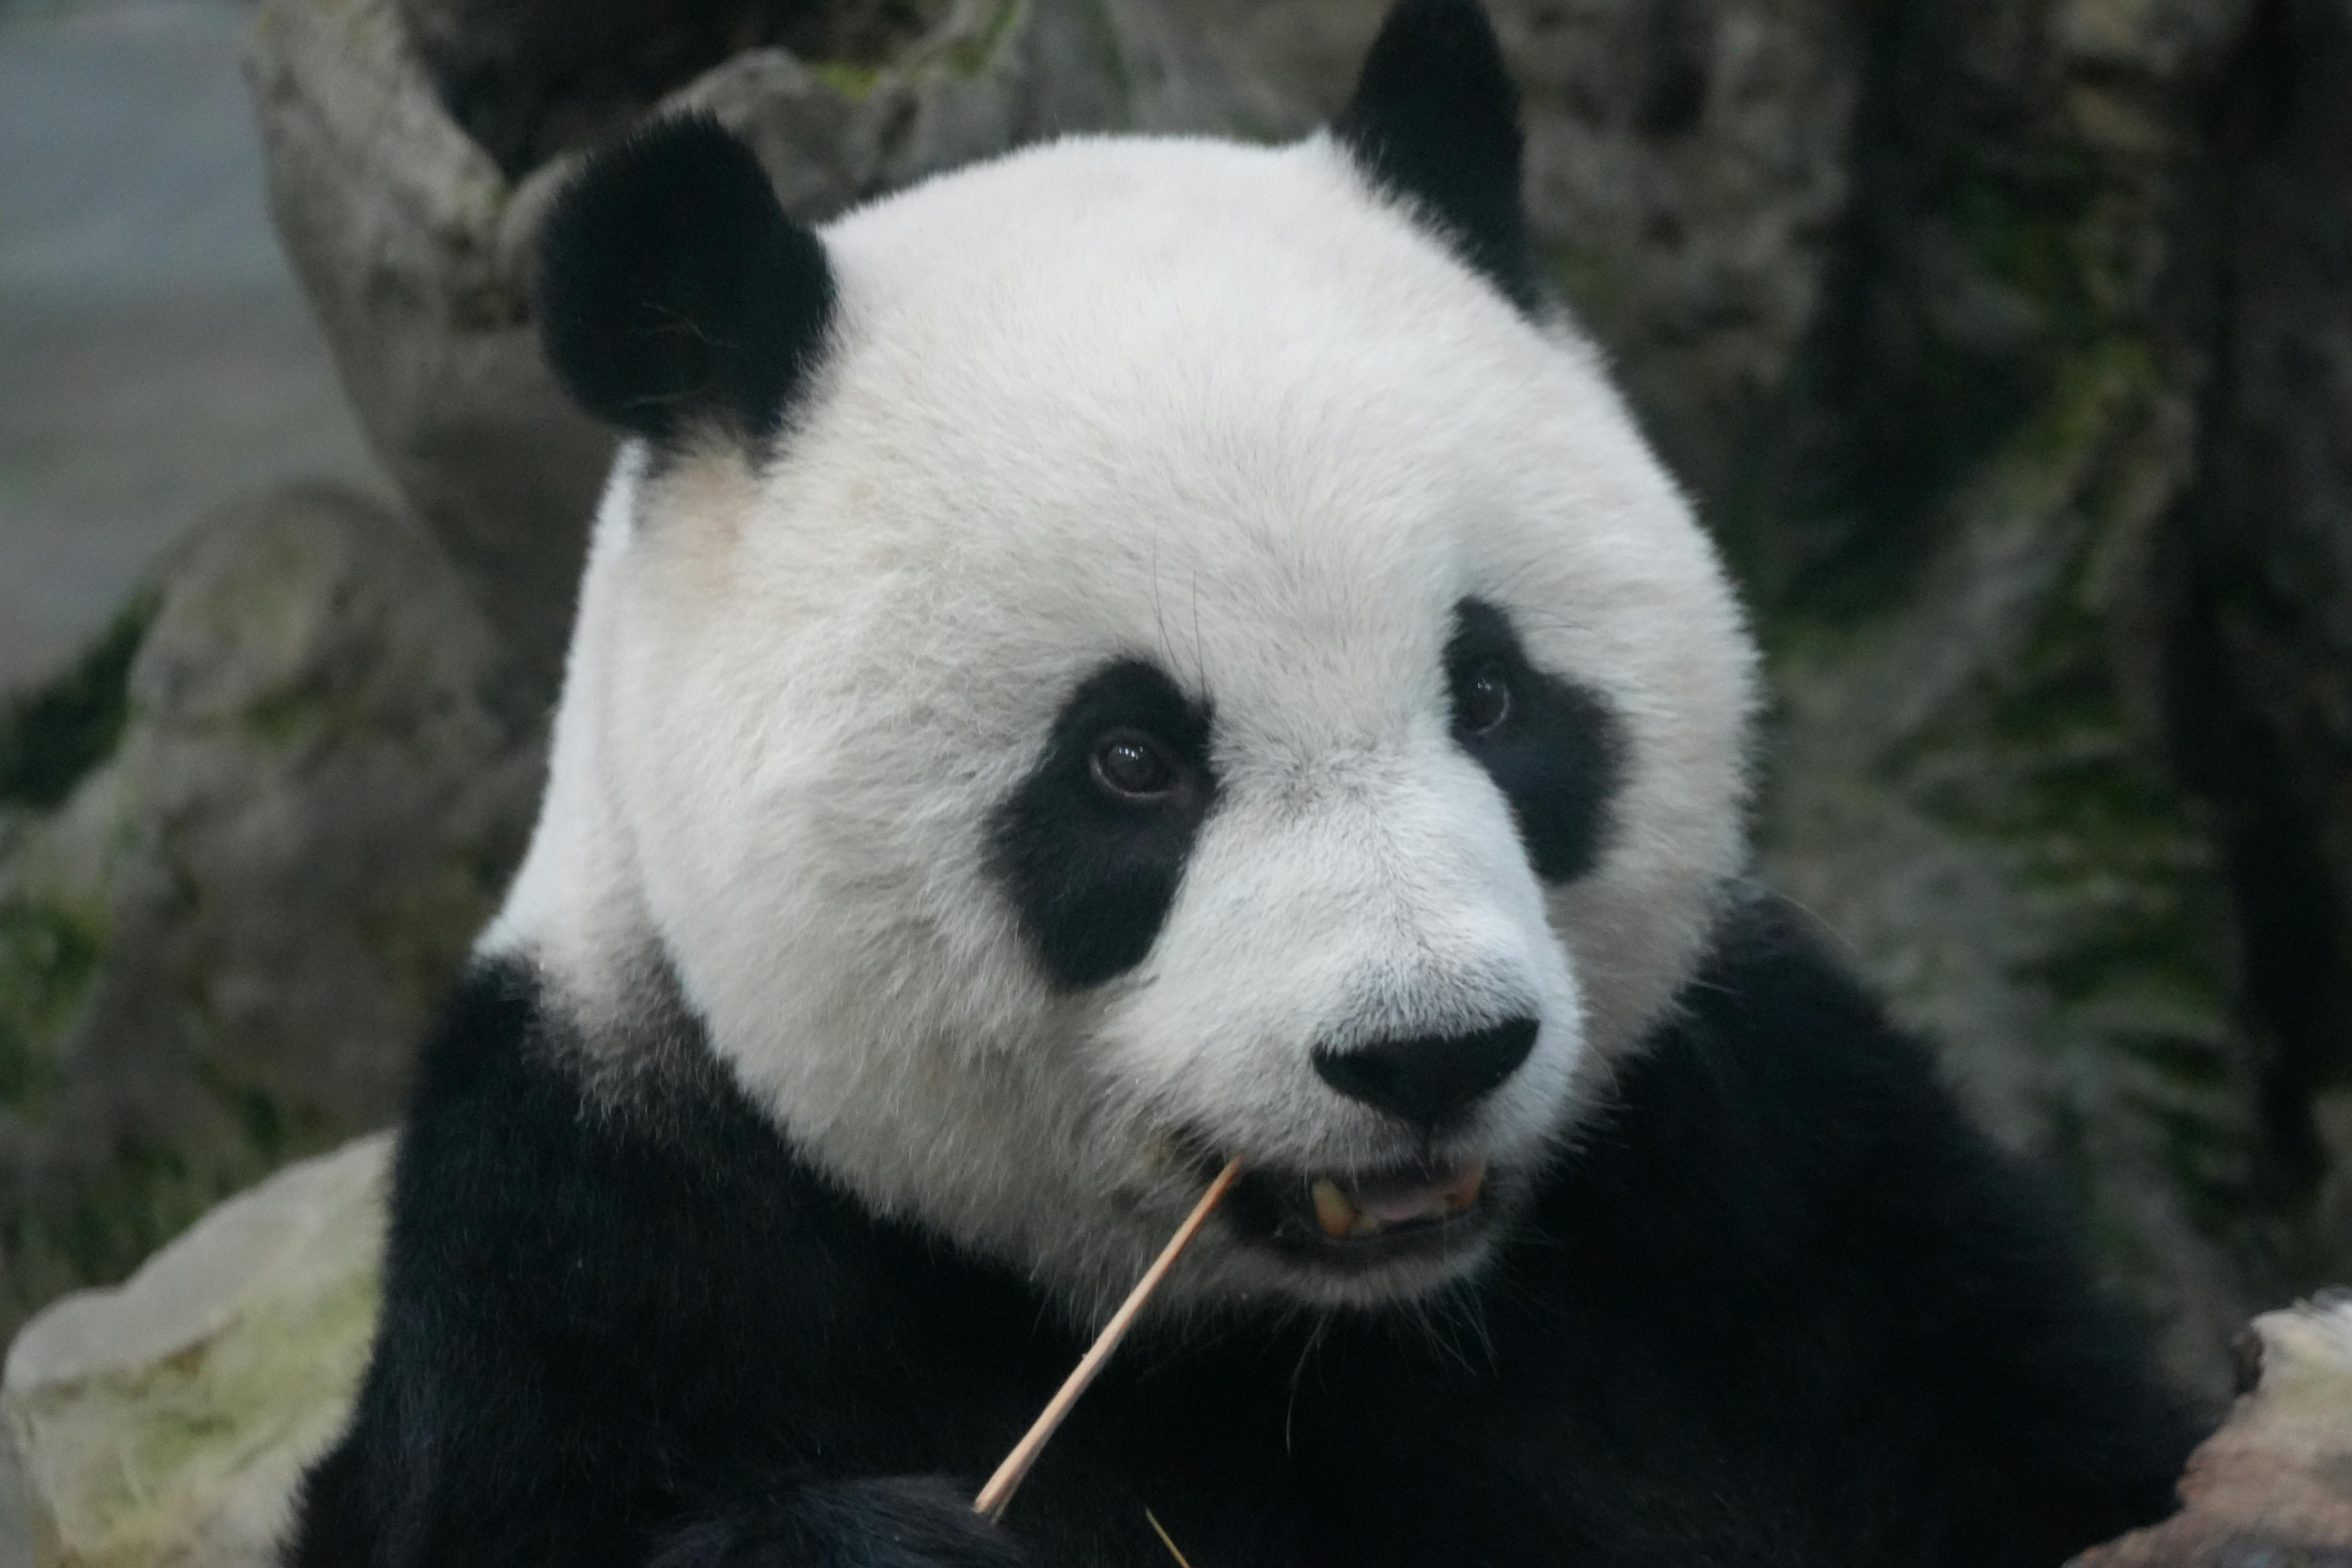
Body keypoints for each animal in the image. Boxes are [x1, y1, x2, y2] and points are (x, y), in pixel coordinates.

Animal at [285, 2, 2201, 1564]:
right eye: (1130, 760)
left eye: (1492, 692)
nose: (1428, 1052)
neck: (1338, 1329)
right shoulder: (607, 1254)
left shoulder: (1784, 1182)